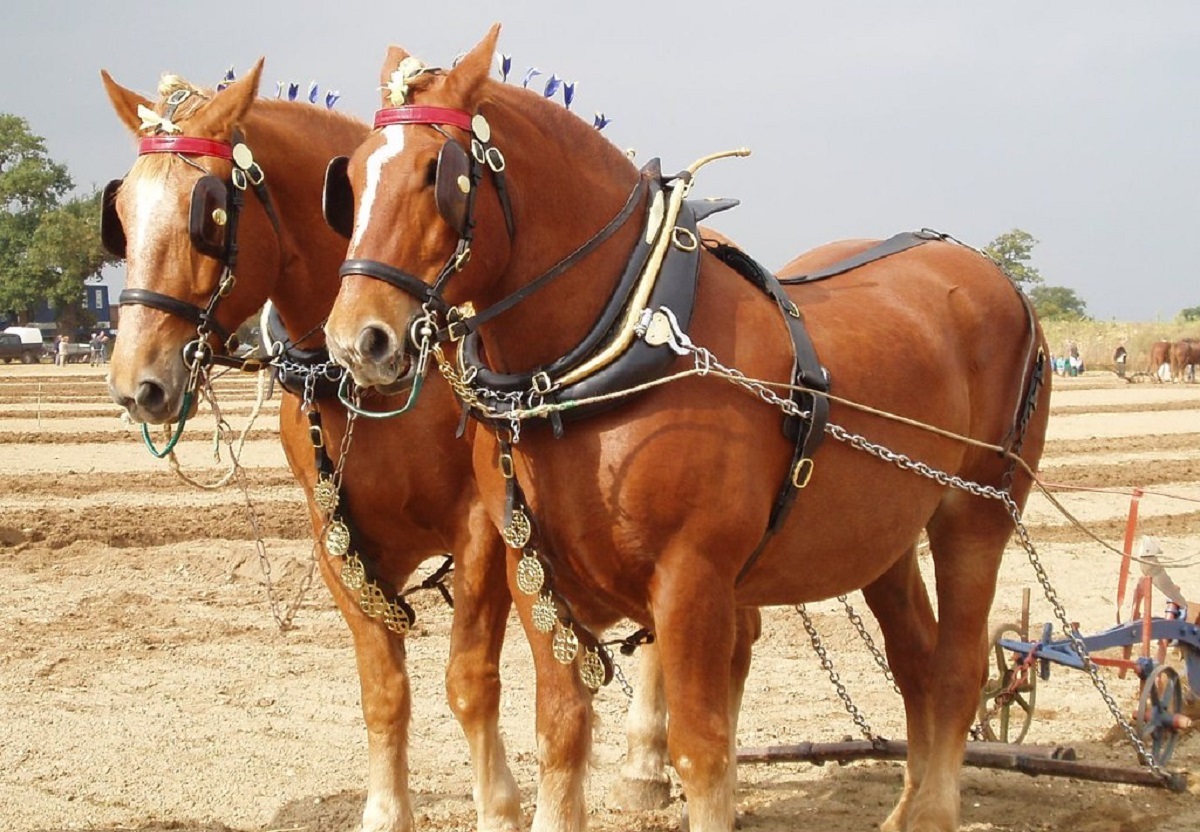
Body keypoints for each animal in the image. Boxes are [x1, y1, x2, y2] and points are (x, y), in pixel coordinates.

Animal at [101, 63, 536, 832]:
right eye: (119, 216)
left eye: (208, 215)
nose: (134, 384)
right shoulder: (336, 536)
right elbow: (383, 688)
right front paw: (387, 812)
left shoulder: (486, 529)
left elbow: (470, 681)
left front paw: (501, 806)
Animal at [322, 26, 1052, 832]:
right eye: (350, 179)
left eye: (438, 174)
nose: (357, 341)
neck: (614, 345)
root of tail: (998, 278)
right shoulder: (533, 573)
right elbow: (561, 732)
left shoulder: (692, 578)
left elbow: (702, 751)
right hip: (884, 536)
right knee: (916, 660)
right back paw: (908, 806)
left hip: (976, 515)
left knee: (959, 668)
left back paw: (936, 808)